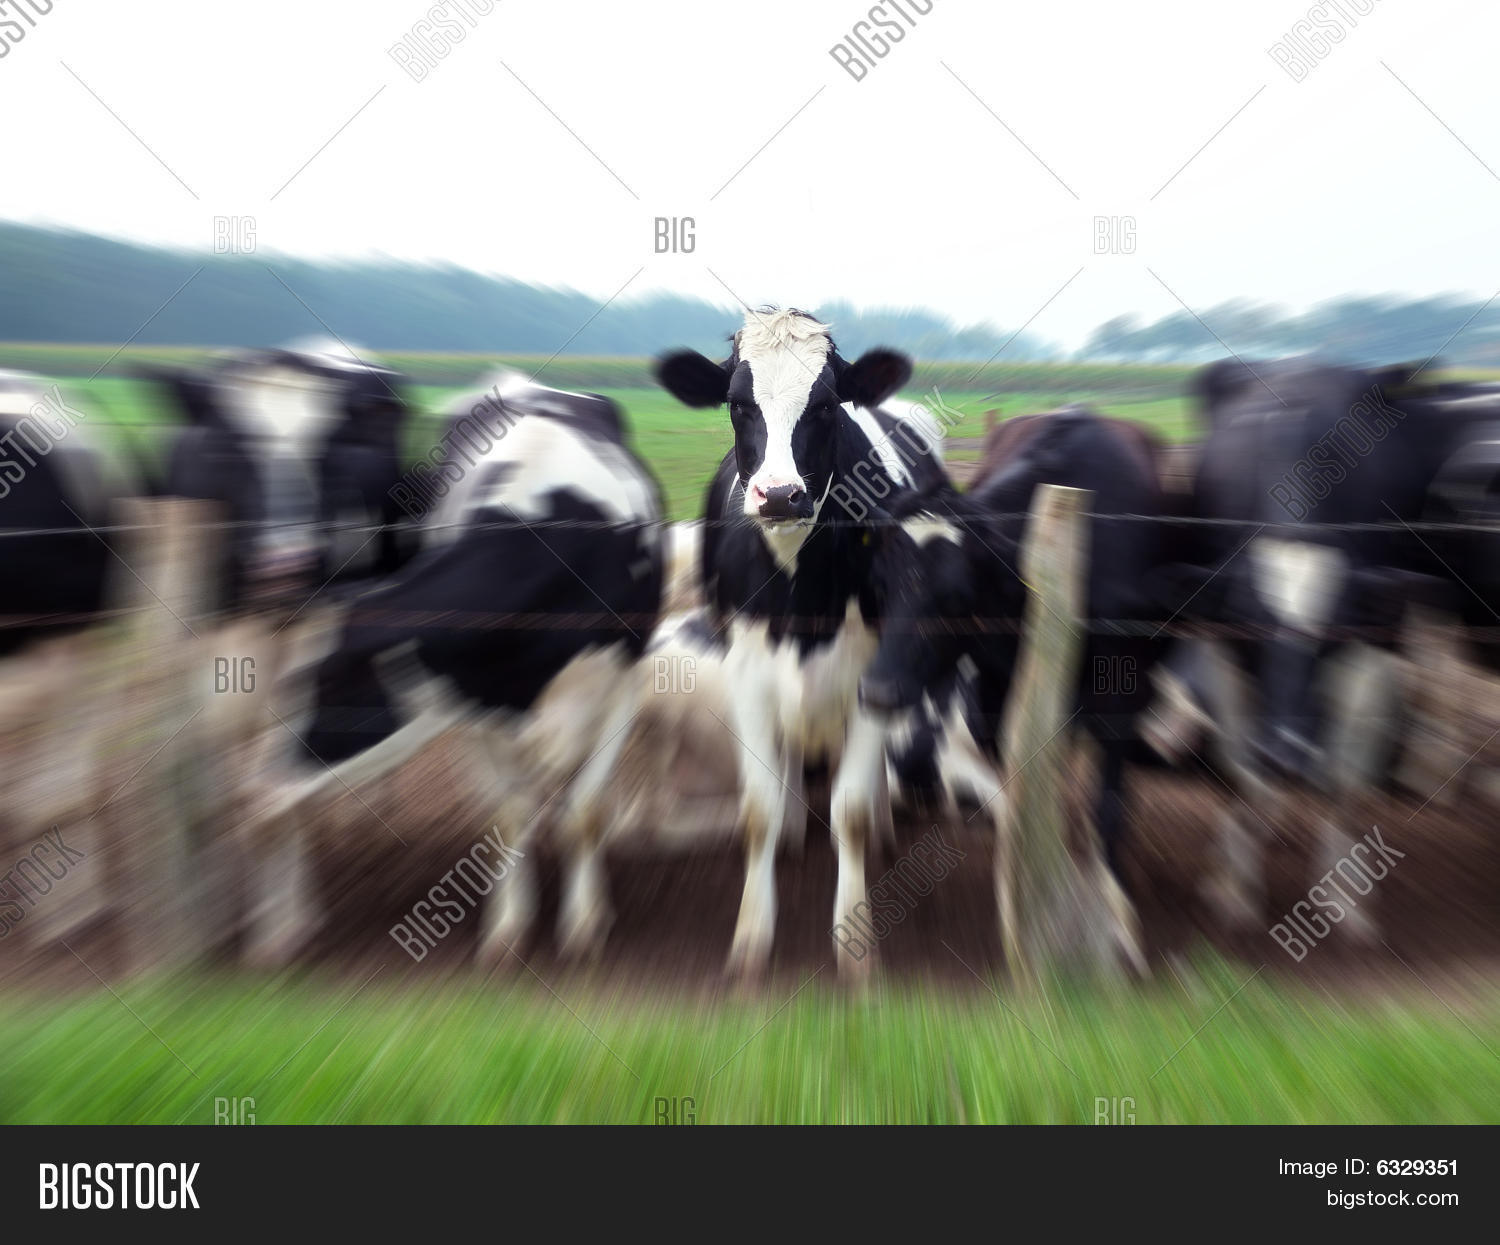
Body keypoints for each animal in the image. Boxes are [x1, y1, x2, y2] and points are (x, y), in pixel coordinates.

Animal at [655, 307, 947, 978]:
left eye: (826, 404)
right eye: (738, 403)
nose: (781, 495)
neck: (802, 602)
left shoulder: (869, 673)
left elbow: (852, 811)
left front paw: (854, 941)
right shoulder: (747, 671)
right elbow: (757, 808)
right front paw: (751, 935)